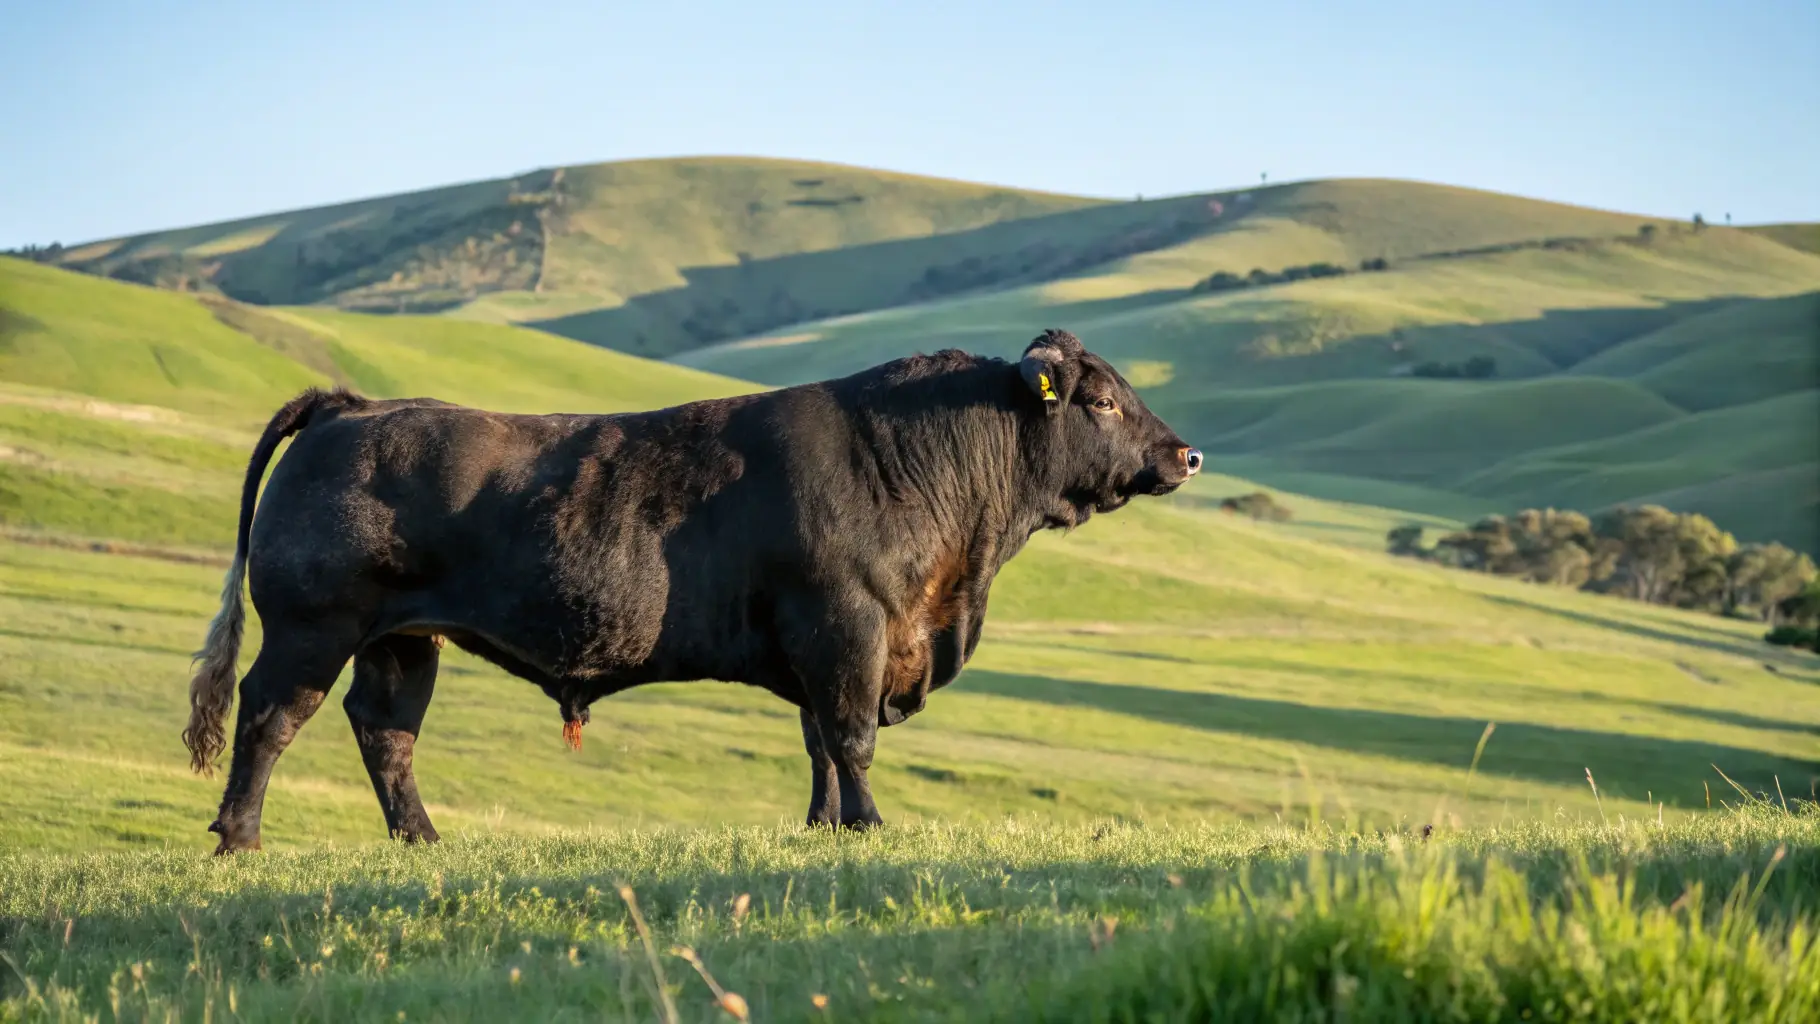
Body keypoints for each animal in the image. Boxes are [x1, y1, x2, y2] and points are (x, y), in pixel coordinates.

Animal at [182, 329, 1202, 853]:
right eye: (1102, 400)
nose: (1186, 454)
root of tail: (354, 407)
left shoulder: (821, 640)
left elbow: (819, 743)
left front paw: (823, 829)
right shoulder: (846, 628)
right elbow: (852, 737)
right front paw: (869, 827)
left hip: (403, 640)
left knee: (385, 732)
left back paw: (423, 840)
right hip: (313, 628)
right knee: (269, 715)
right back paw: (239, 837)